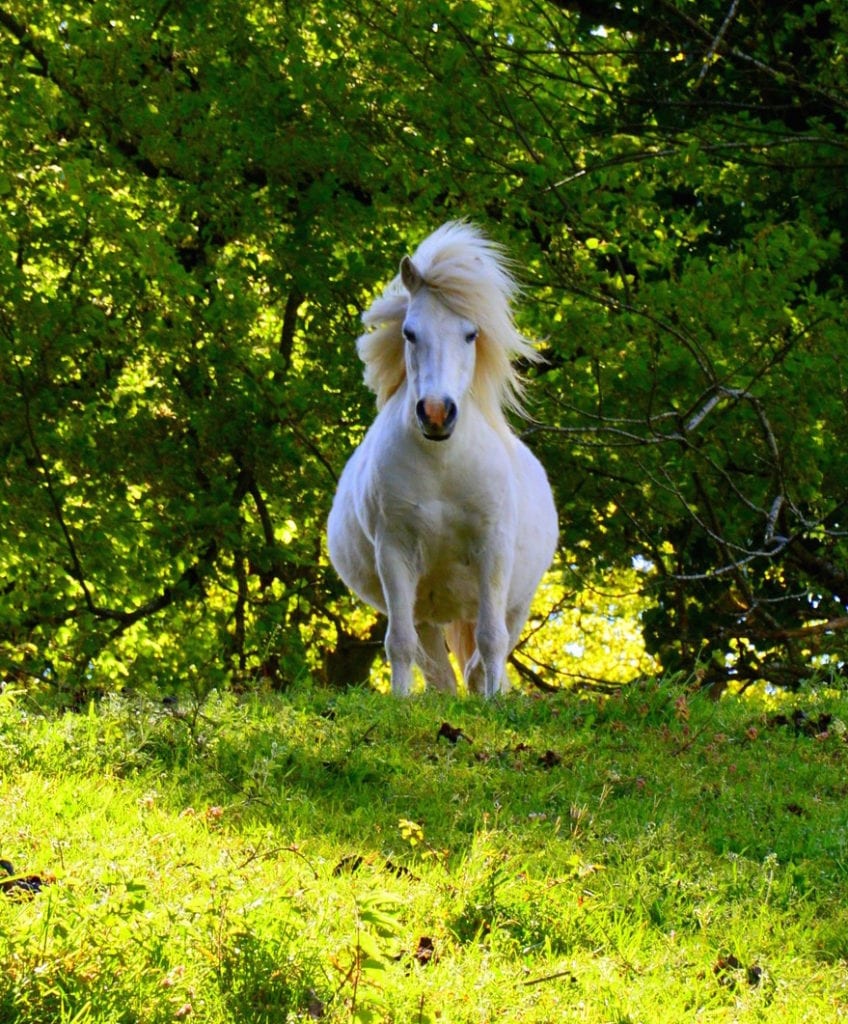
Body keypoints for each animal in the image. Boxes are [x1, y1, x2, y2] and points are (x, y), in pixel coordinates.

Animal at [327, 221, 558, 697]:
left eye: (471, 334)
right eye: (409, 333)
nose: (435, 413)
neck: (442, 466)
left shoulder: (493, 551)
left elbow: (490, 641)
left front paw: (495, 704)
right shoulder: (394, 554)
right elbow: (399, 644)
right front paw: (399, 703)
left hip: (514, 600)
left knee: (481, 655)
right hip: (426, 609)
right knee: (437, 669)